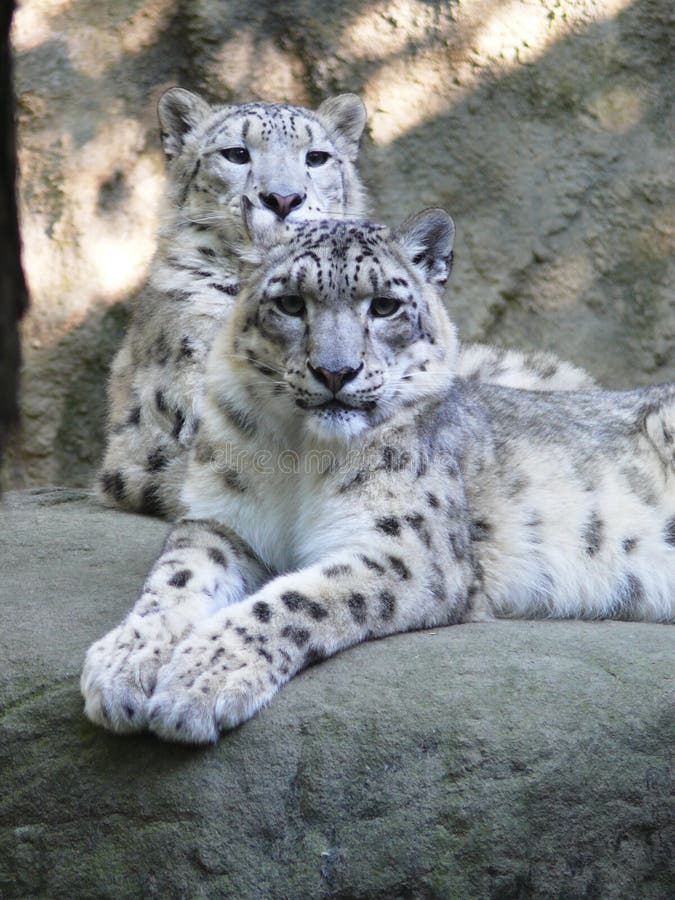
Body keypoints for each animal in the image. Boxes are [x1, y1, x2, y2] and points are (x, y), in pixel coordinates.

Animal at [82, 205, 675, 744]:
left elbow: (295, 600)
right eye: (291, 303)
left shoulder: (408, 550)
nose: (335, 371)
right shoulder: (221, 522)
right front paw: (122, 664)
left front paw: (201, 679)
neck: (297, 458)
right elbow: (174, 580)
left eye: (384, 305)